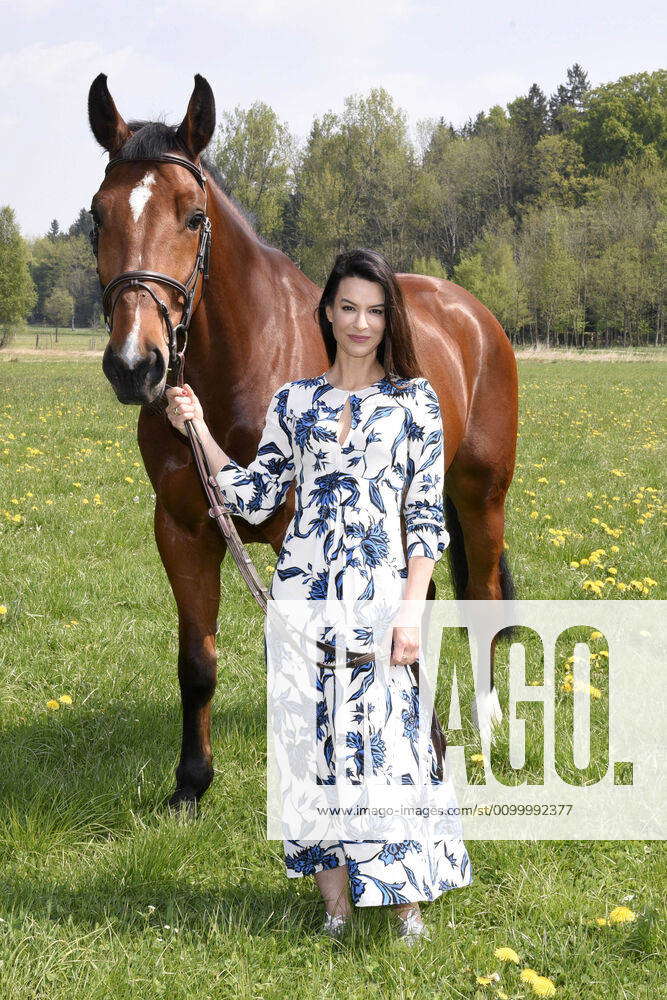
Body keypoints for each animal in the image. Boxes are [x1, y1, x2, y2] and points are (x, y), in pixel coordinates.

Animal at [87, 73, 518, 810]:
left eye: (192, 217)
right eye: (97, 217)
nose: (135, 365)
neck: (242, 367)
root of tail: (474, 313)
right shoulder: (183, 529)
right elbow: (197, 661)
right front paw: (190, 785)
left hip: (478, 494)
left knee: (481, 595)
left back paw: (481, 727)